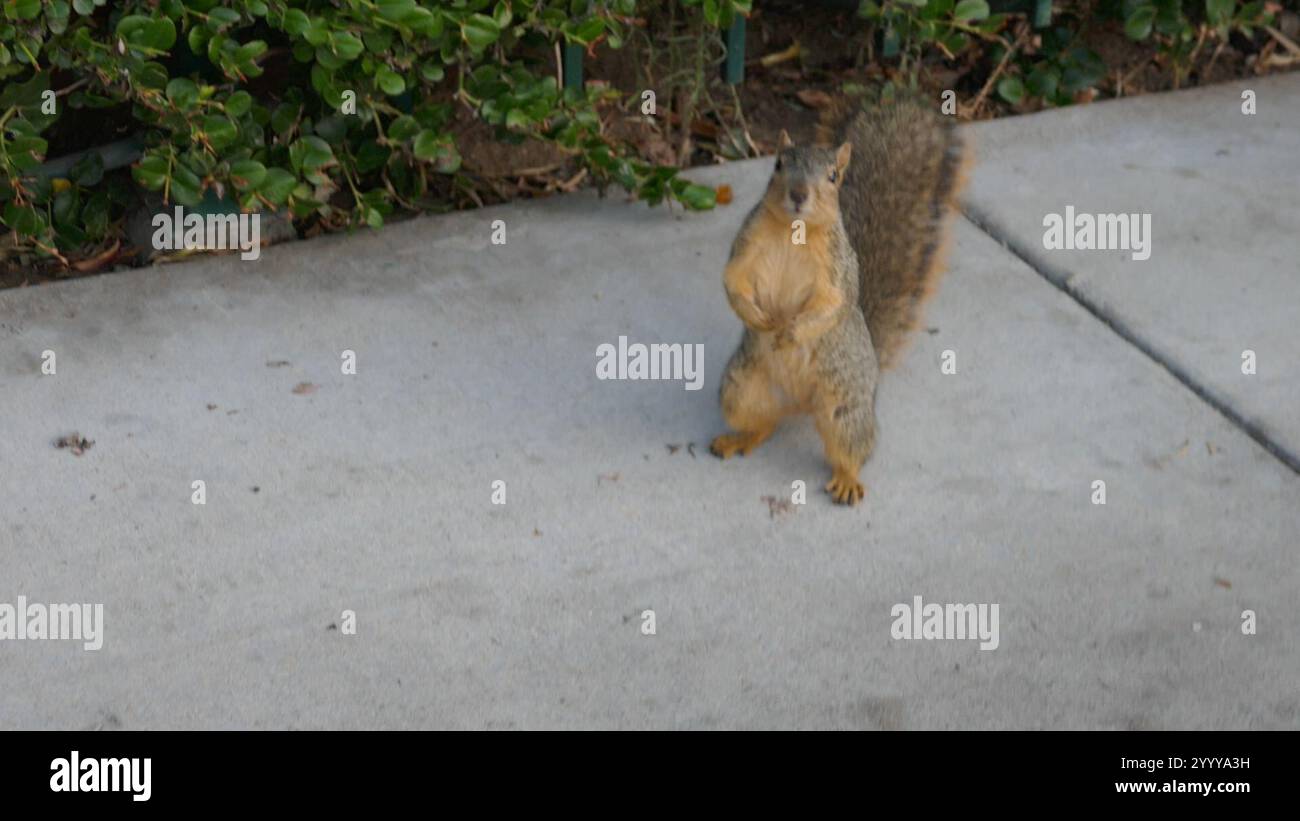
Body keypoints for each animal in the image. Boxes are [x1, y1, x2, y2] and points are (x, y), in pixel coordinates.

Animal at [709, 95, 968, 505]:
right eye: (778, 164)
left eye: (833, 176)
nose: (799, 194)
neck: (793, 230)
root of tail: (799, 402)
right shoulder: (746, 245)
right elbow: (733, 281)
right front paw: (759, 318)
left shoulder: (837, 271)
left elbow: (832, 305)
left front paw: (789, 333)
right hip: (740, 390)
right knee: (764, 424)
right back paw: (740, 438)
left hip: (845, 411)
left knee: (853, 448)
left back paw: (847, 479)